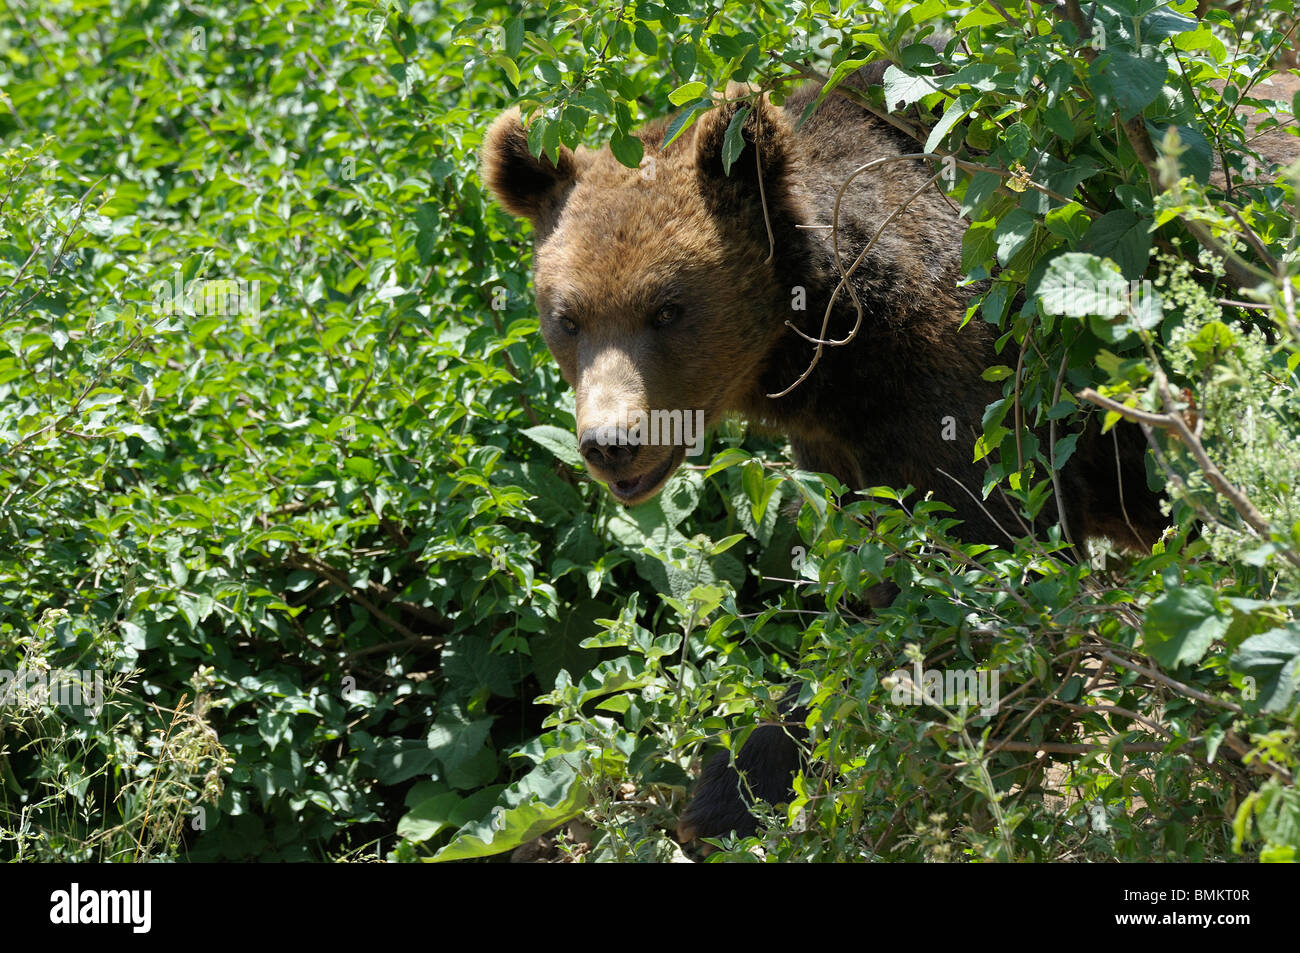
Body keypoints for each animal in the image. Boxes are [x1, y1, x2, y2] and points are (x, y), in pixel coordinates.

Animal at [480, 70, 1168, 841]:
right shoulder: (842, 451)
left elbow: (979, 579)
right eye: (568, 318)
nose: (611, 442)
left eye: (667, 309)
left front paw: (734, 789)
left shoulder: (971, 390)